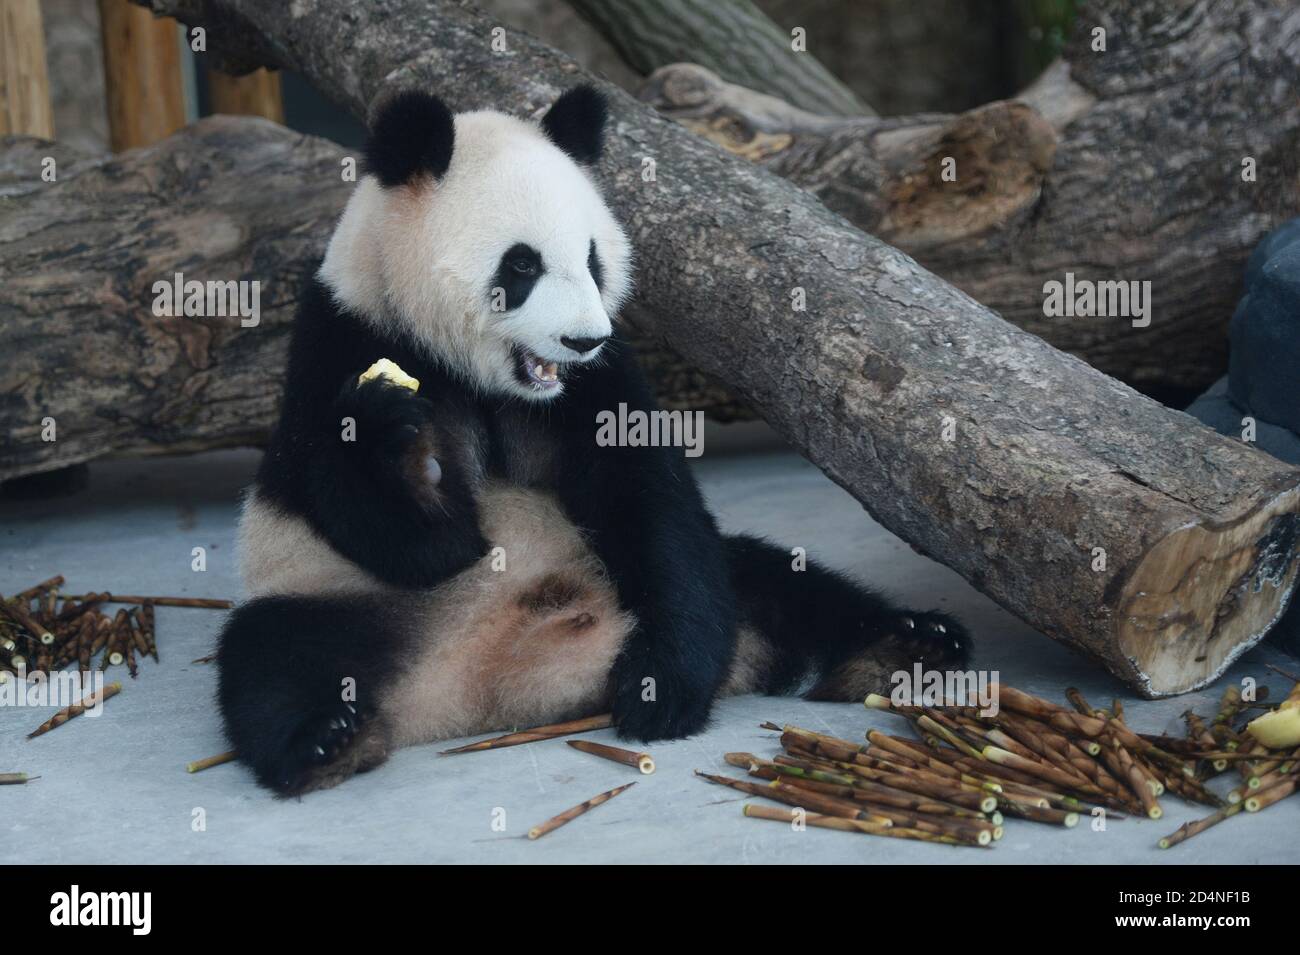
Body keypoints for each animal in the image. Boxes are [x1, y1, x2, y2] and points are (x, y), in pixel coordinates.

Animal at [218, 85, 970, 795]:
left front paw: (661, 689)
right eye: (520, 266)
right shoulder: (340, 342)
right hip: (334, 595)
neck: (487, 379)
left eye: (591, 258)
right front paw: (400, 445)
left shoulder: (598, 383)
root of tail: (480, 695)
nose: (581, 338)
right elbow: (414, 539)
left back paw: (904, 646)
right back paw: (327, 742)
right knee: (275, 660)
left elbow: (648, 504)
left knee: (769, 579)